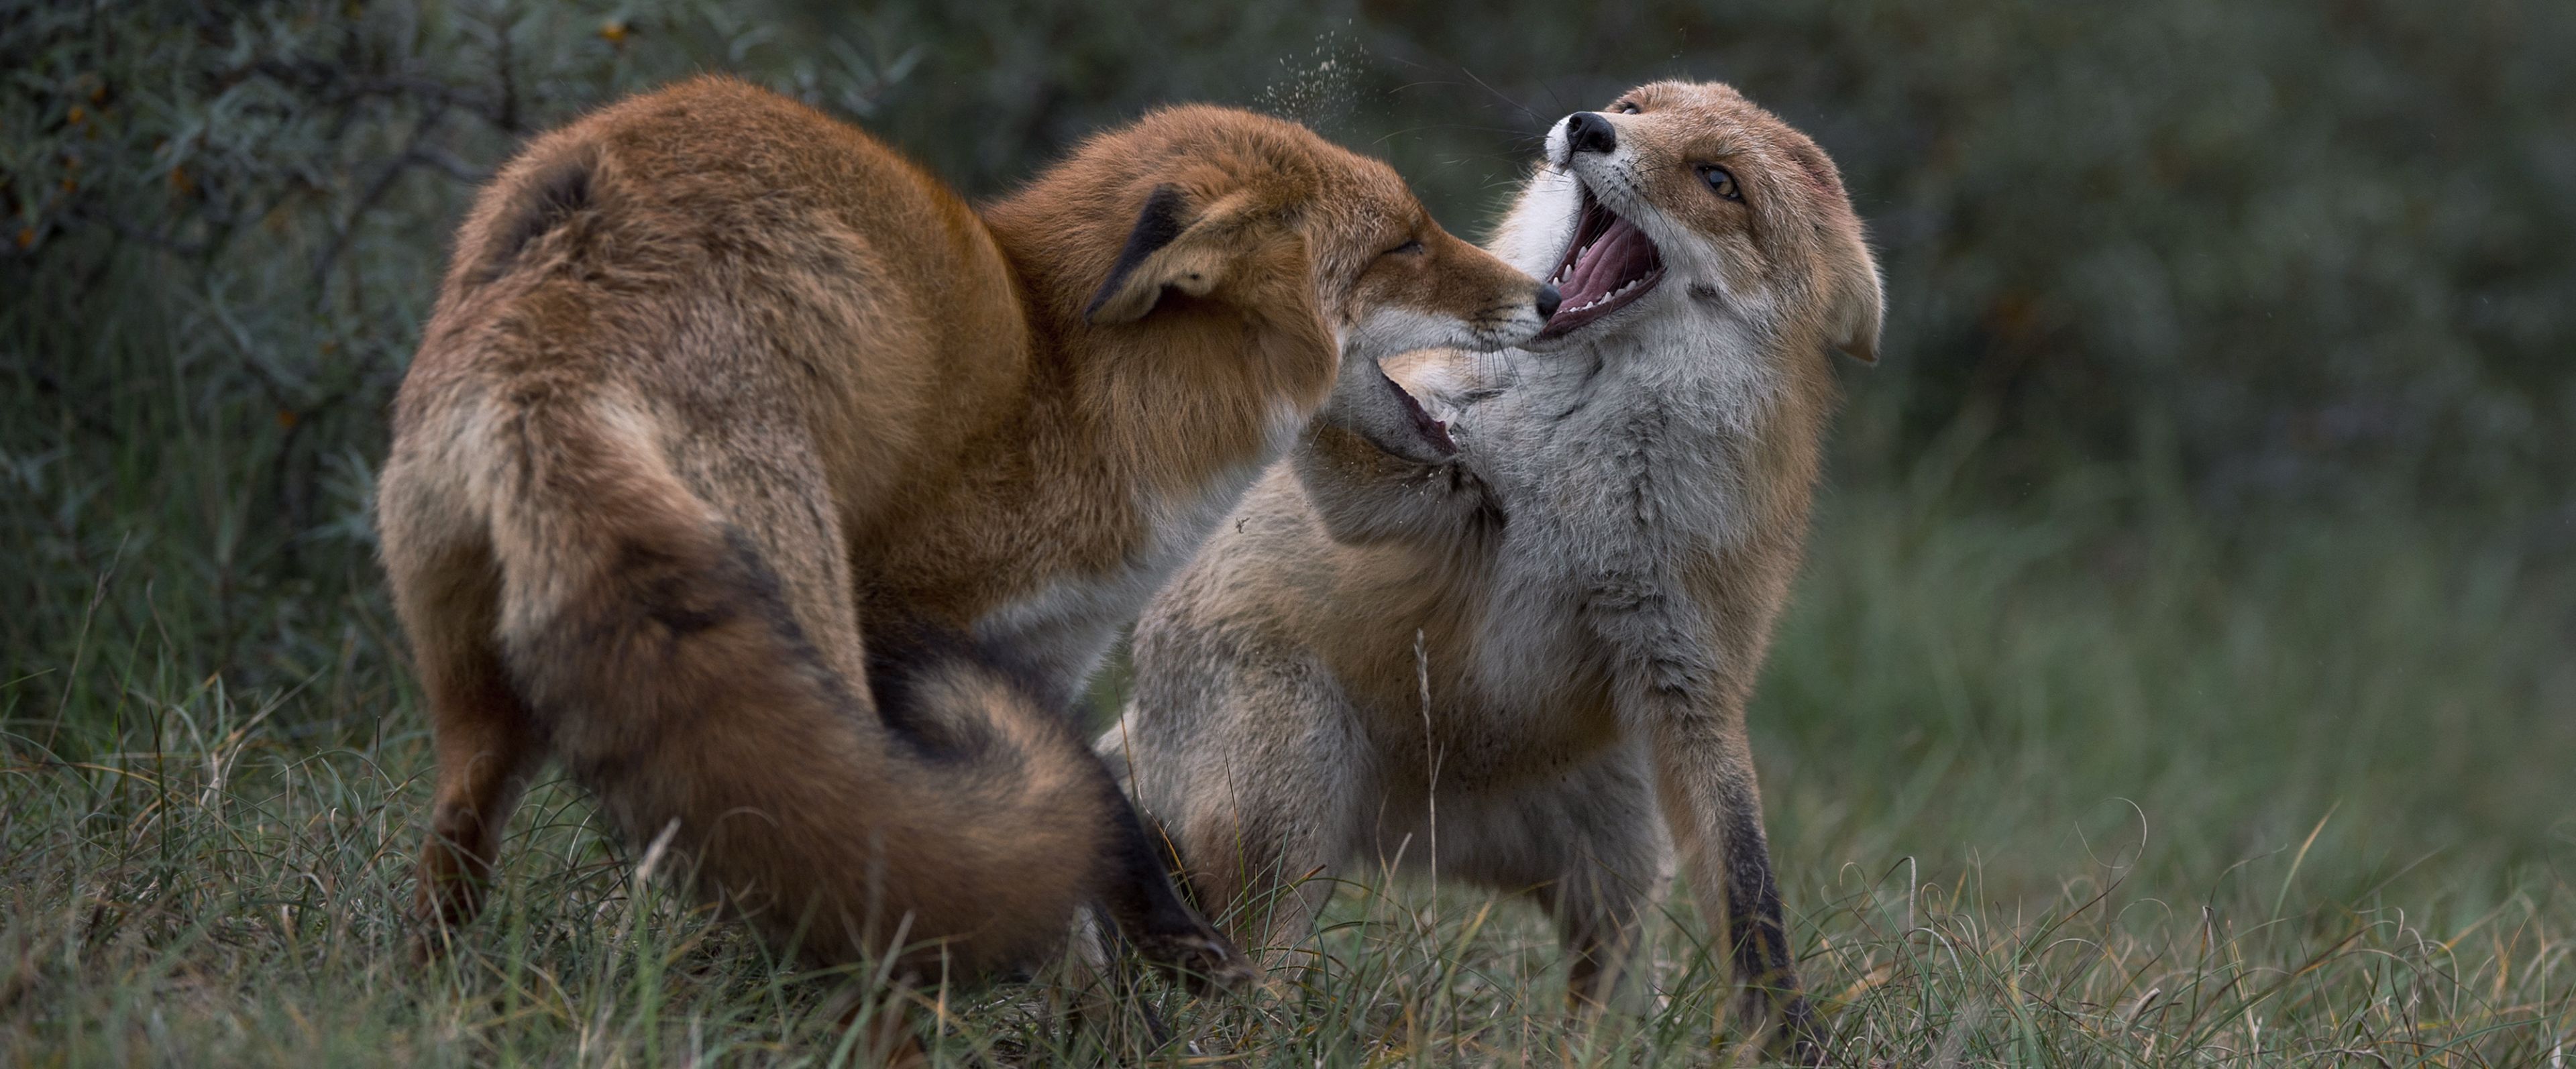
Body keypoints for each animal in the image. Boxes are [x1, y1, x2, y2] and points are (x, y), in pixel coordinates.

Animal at [376, 74, 1554, 999]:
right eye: (1405, 242)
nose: (1550, 295)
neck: (1079, 388)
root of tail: (575, 296)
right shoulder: (923, 620)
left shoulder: (1039, 665)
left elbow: (1078, 888)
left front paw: (1098, 1024)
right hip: (808, 644)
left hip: (476, 701)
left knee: (454, 859)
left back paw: (430, 1001)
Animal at [1100, 81, 1882, 1062]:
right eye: (1638, 107)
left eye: (1718, 180)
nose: (1590, 128)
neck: (1582, 472)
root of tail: (1421, 824)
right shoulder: (1406, 494)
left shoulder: (1689, 677)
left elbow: (1751, 896)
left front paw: (1787, 1033)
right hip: (1294, 800)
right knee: (1252, 961)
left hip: (1619, 859)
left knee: (1605, 989)